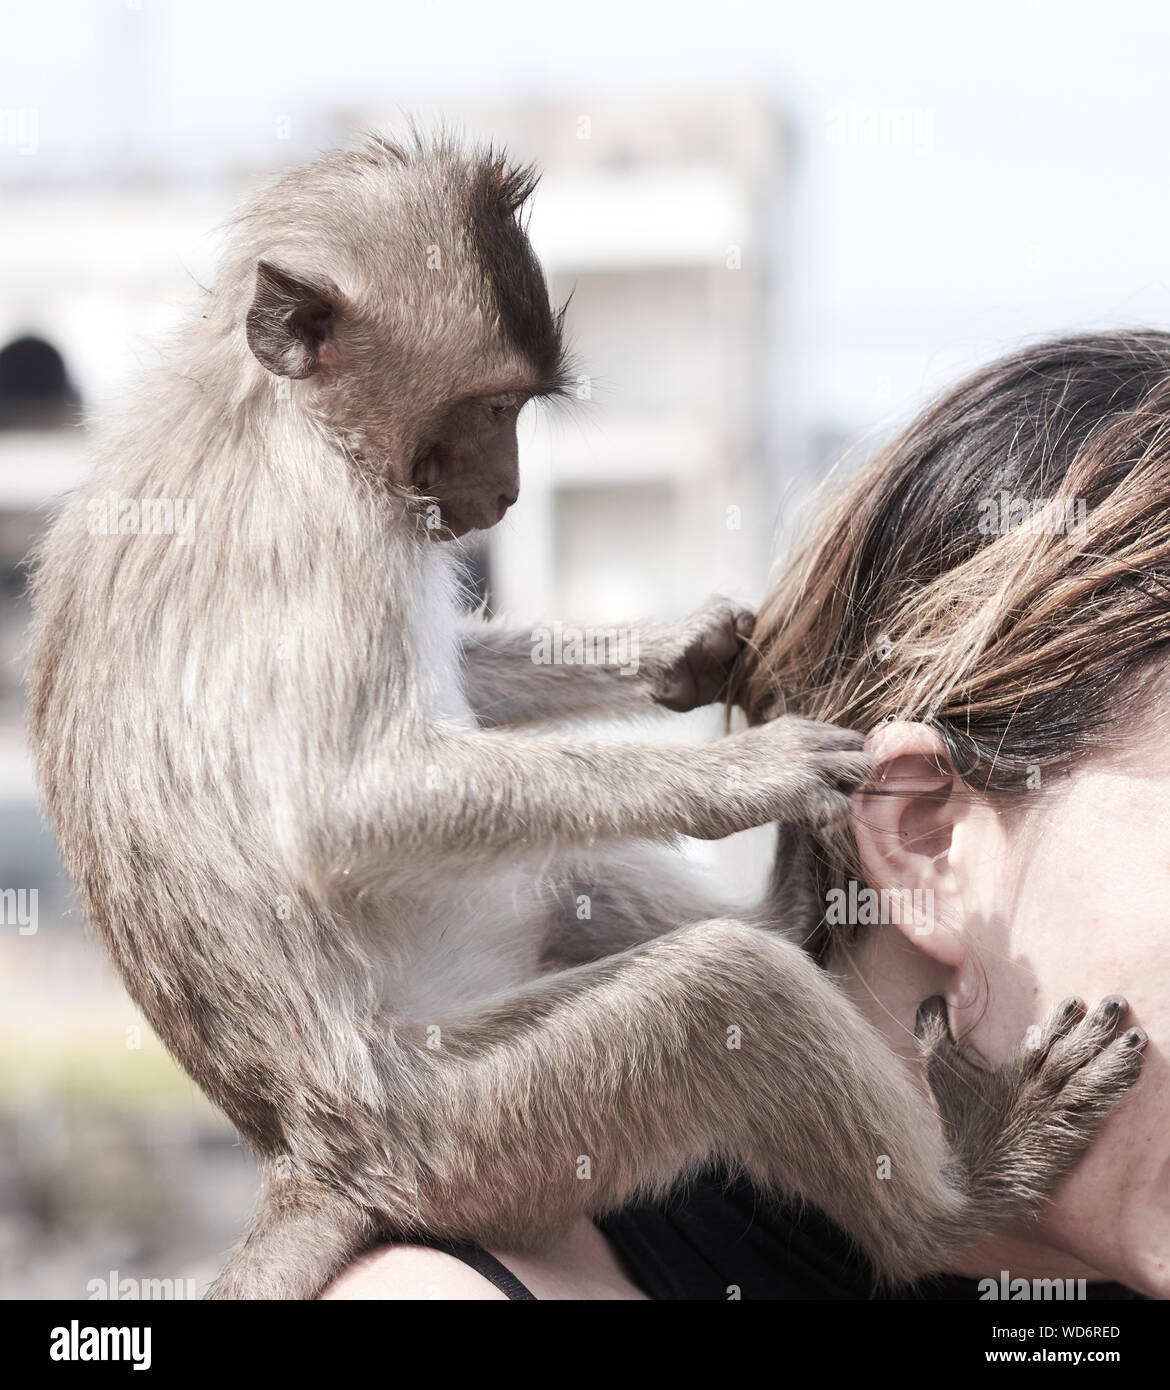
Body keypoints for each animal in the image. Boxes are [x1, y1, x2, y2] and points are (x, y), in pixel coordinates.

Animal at [26, 133, 1146, 1300]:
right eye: (491, 407)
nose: (511, 493)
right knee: (714, 994)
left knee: (565, 866)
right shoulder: (321, 530)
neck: (271, 408)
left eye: (520, 408)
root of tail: (308, 1158)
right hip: (462, 1128)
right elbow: (344, 807)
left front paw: (685, 649)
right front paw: (744, 773)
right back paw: (958, 1194)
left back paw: (784, 914)